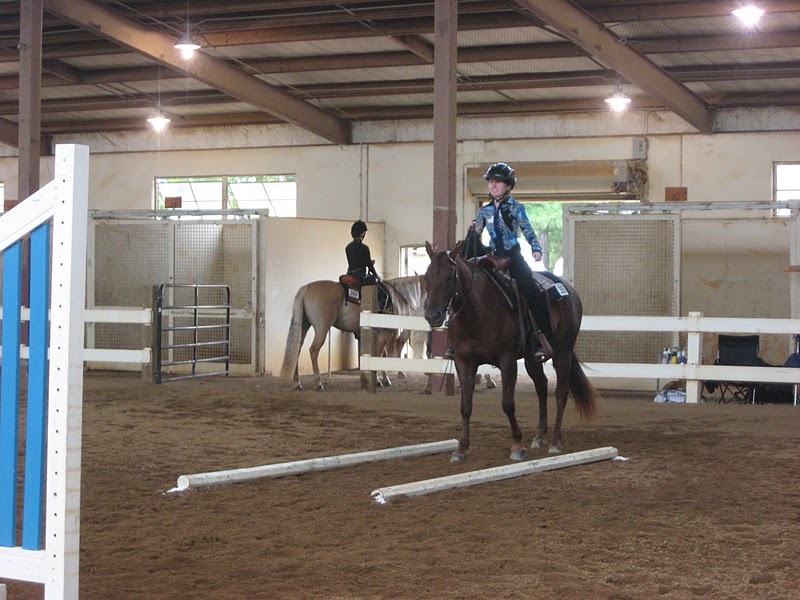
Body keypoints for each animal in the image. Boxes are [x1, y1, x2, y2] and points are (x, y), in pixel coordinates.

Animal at [280, 276, 421, 391]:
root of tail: (306, 288)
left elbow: (381, 354)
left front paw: (381, 378)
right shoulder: (384, 334)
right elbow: (380, 354)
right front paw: (380, 380)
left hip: (304, 326)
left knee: (297, 349)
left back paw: (297, 383)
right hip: (322, 328)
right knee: (313, 350)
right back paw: (318, 383)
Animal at [423, 241, 600, 461]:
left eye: (449, 277)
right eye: (426, 277)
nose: (432, 316)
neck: (478, 311)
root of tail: (568, 290)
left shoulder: (506, 360)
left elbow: (508, 403)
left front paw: (517, 444)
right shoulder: (463, 362)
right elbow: (465, 406)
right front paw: (461, 448)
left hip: (563, 351)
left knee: (561, 392)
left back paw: (555, 441)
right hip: (532, 358)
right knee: (541, 387)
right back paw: (540, 437)